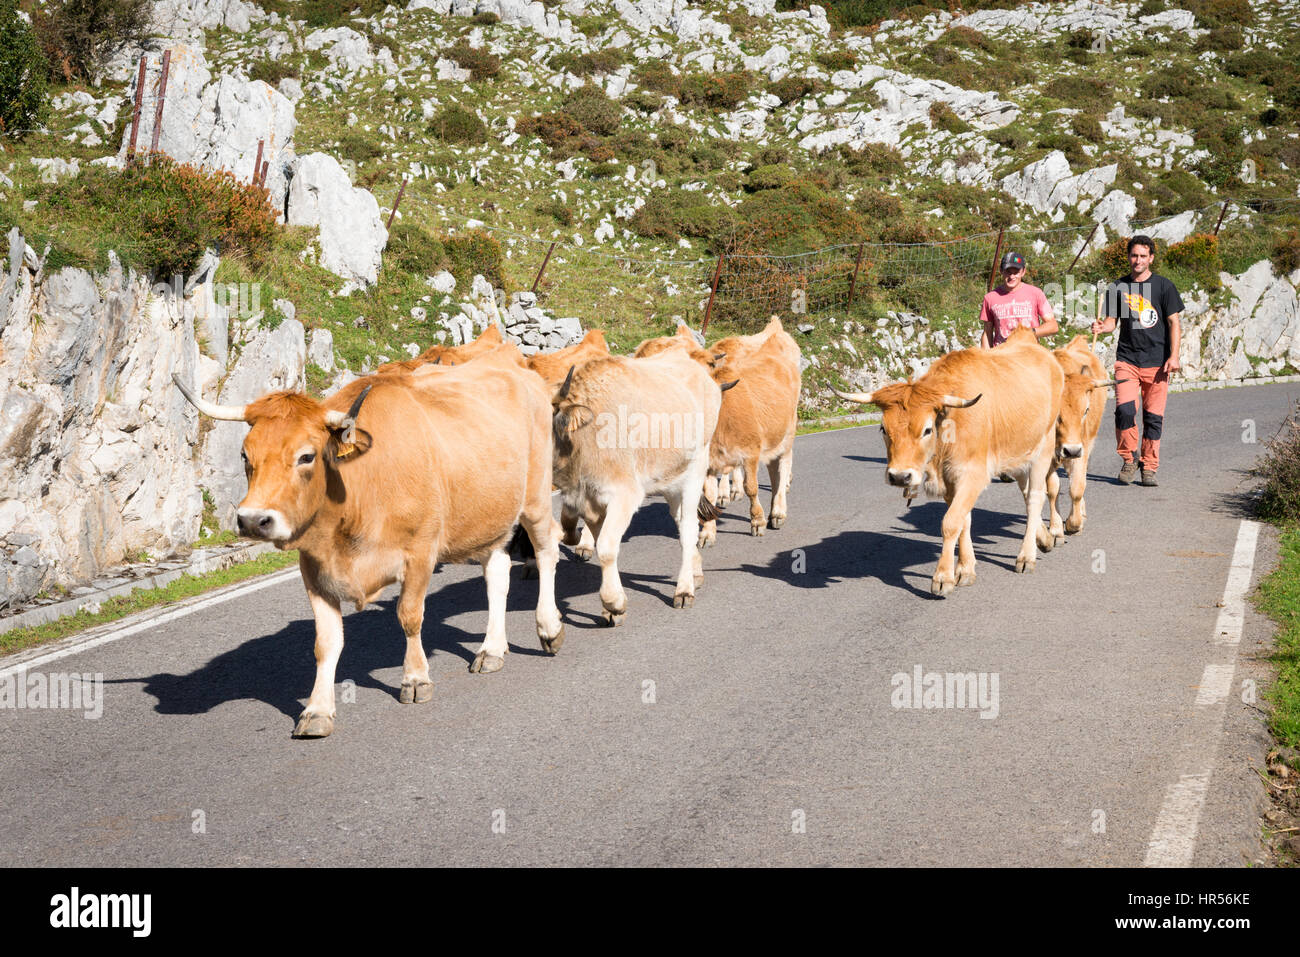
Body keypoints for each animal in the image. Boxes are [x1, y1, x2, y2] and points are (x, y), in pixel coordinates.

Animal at [172, 344, 563, 738]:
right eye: (245, 455)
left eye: (306, 456)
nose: (253, 520)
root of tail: (517, 368)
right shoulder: (314, 568)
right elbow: (326, 642)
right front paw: (317, 710)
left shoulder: (420, 552)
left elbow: (409, 616)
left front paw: (415, 679)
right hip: (490, 516)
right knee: (497, 572)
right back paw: (492, 649)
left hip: (536, 497)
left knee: (547, 548)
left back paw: (549, 628)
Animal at [550, 350, 731, 624]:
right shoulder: (586, 499)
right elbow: (597, 540)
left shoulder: (624, 494)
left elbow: (606, 547)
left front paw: (613, 604)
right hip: (670, 481)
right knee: (679, 521)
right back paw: (696, 572)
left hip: (695, 470)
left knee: (688, 529)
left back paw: (684, 589)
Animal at [831, 326, 1064, 596]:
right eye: (883, 429)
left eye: (927, 430)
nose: (900, 476)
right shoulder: (950, 480)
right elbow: (964, 520)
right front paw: (965, 568)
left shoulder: (972, 474)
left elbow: (951, 522)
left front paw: (944, 576)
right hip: (1018, 454)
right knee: (1027, 494)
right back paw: (1043, 538)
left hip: (1043, 448)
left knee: (1036, 497)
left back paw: (1026, 556)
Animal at [1046, 334, 1113, 540]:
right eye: (1056, 414)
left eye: (1086, 410)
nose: (1072, 449)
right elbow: (1052, 489)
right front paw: (1056, 527)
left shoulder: (1082, 449)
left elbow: (1077, 488)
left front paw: (1074, 524)